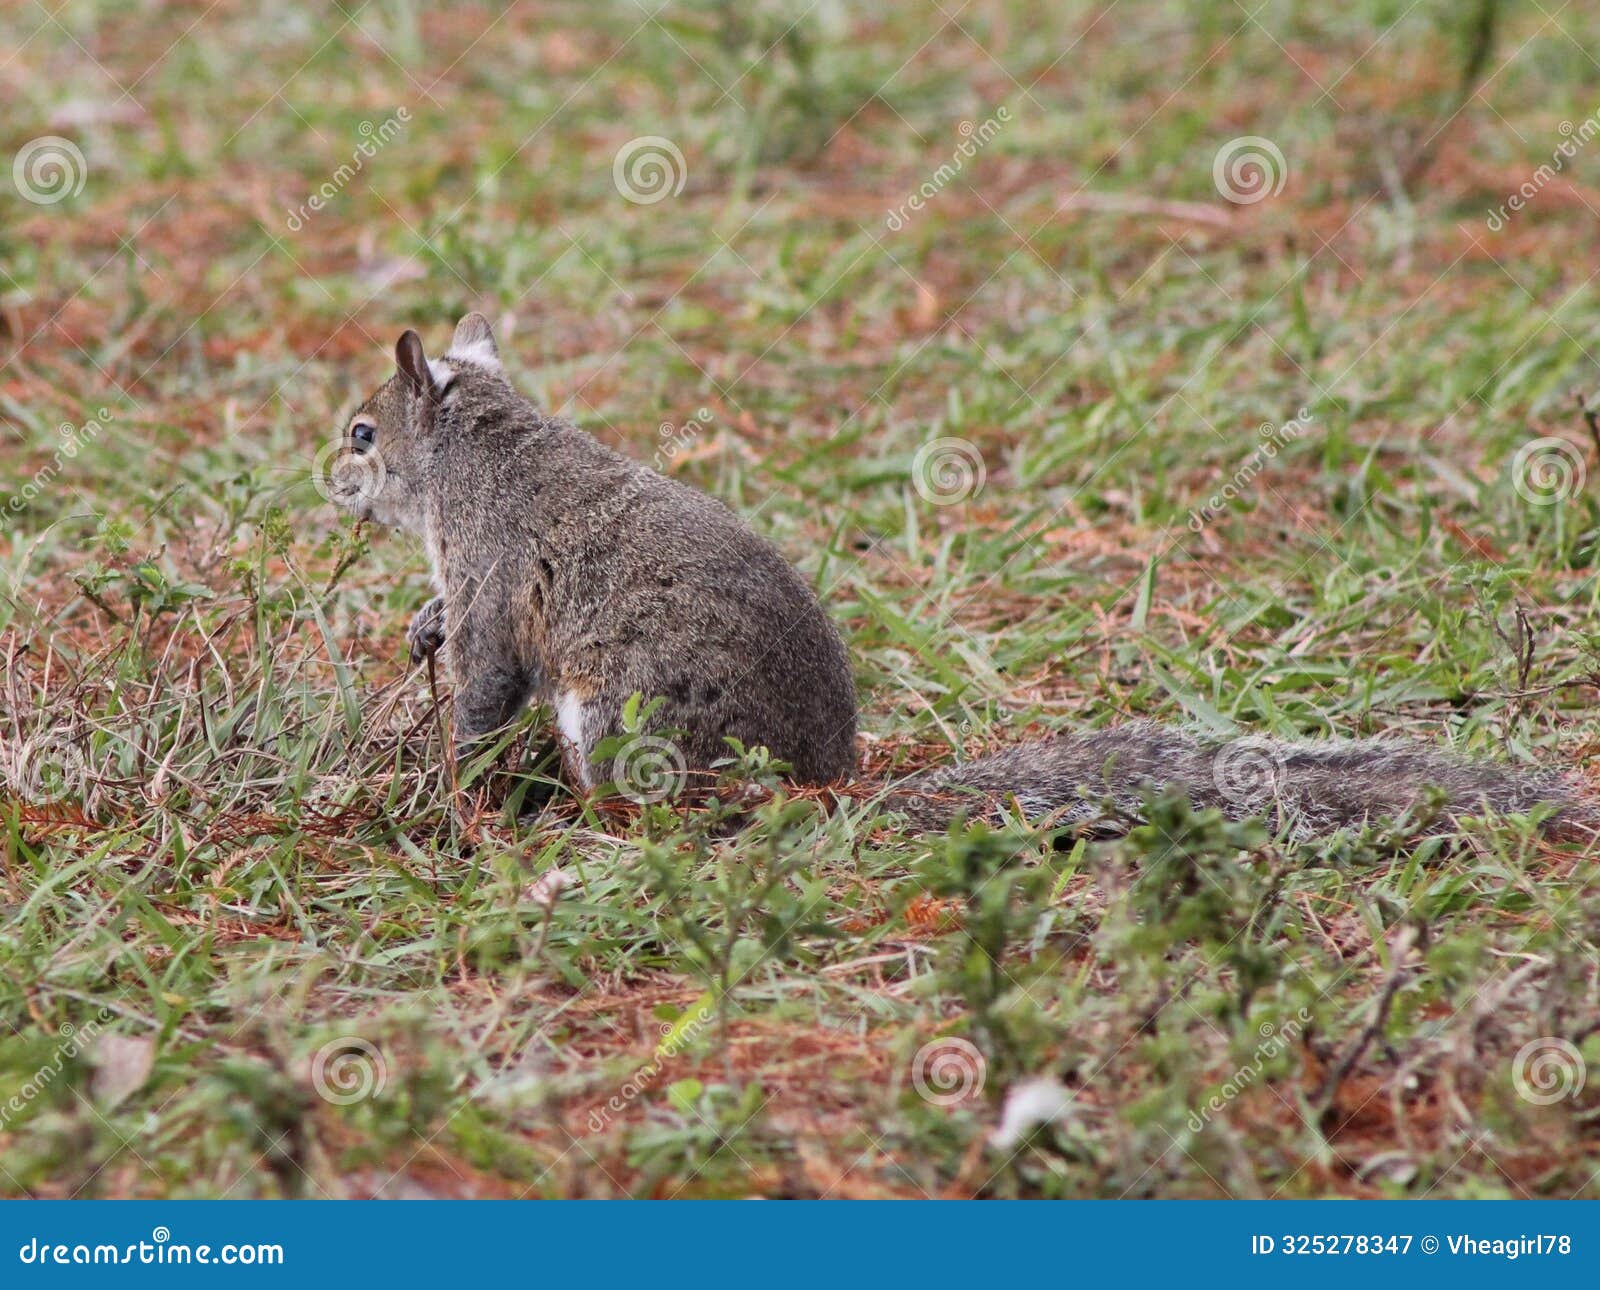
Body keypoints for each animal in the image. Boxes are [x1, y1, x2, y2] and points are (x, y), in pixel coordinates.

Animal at [328, 314, 1595, 841]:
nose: (324, 477)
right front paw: (417, 625)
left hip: (623, 715)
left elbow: (487, 684)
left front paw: (454, 802)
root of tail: (820, 785)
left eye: (361, 433)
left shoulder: (498, 569)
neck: (478, 451)